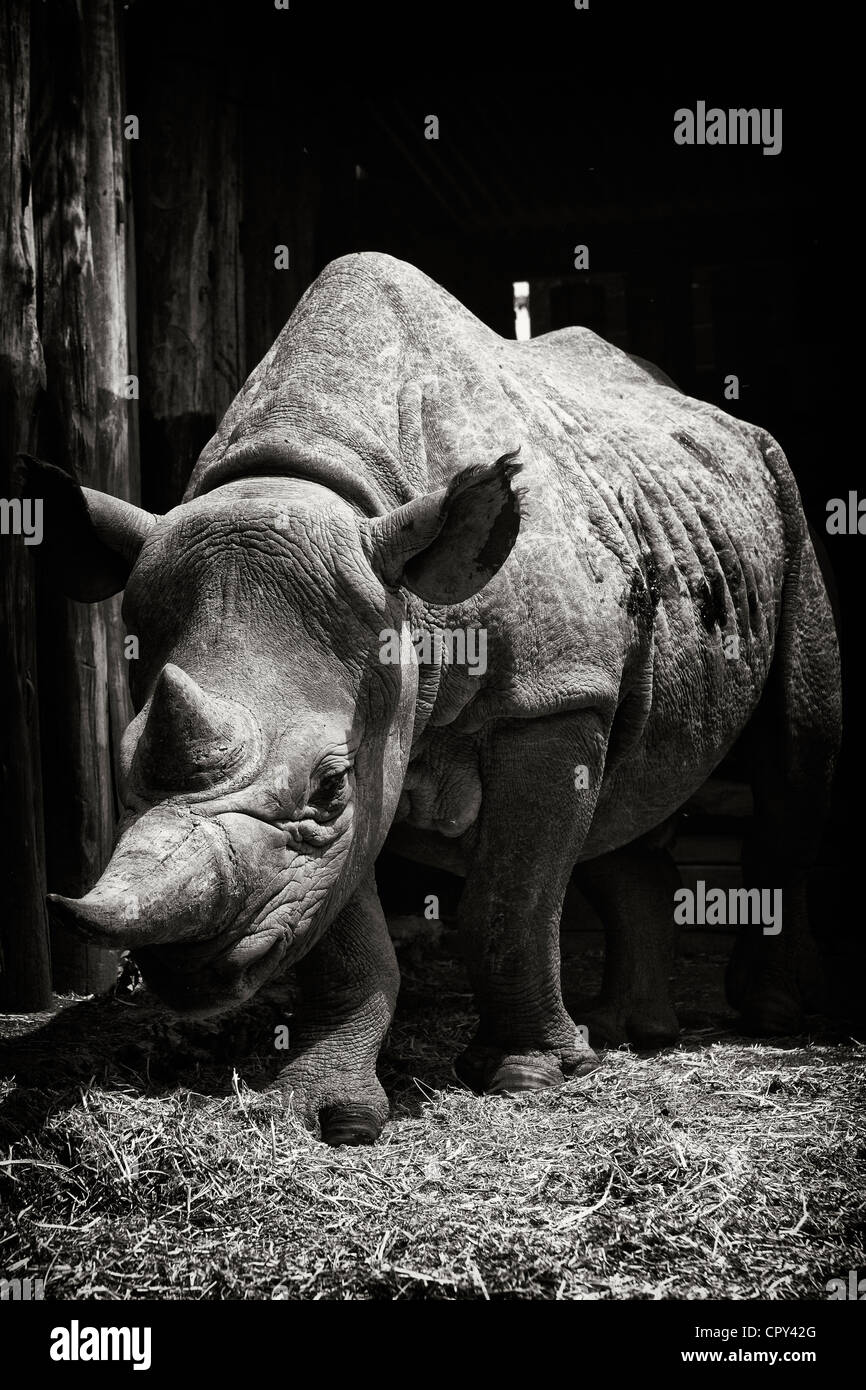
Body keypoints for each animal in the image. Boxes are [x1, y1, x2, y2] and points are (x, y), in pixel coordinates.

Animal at [28, 252, 841, 1145]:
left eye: (329, 785)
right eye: (126, 767)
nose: (184, 965)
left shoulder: (550, 696)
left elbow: (509, 901)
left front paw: (527, 1077)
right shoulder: (372, 723)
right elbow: (344, 920)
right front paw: (323, 1111)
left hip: (781, 498)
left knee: (797, 752)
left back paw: (768, 1018)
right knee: (630, 793)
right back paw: (628, 1032)